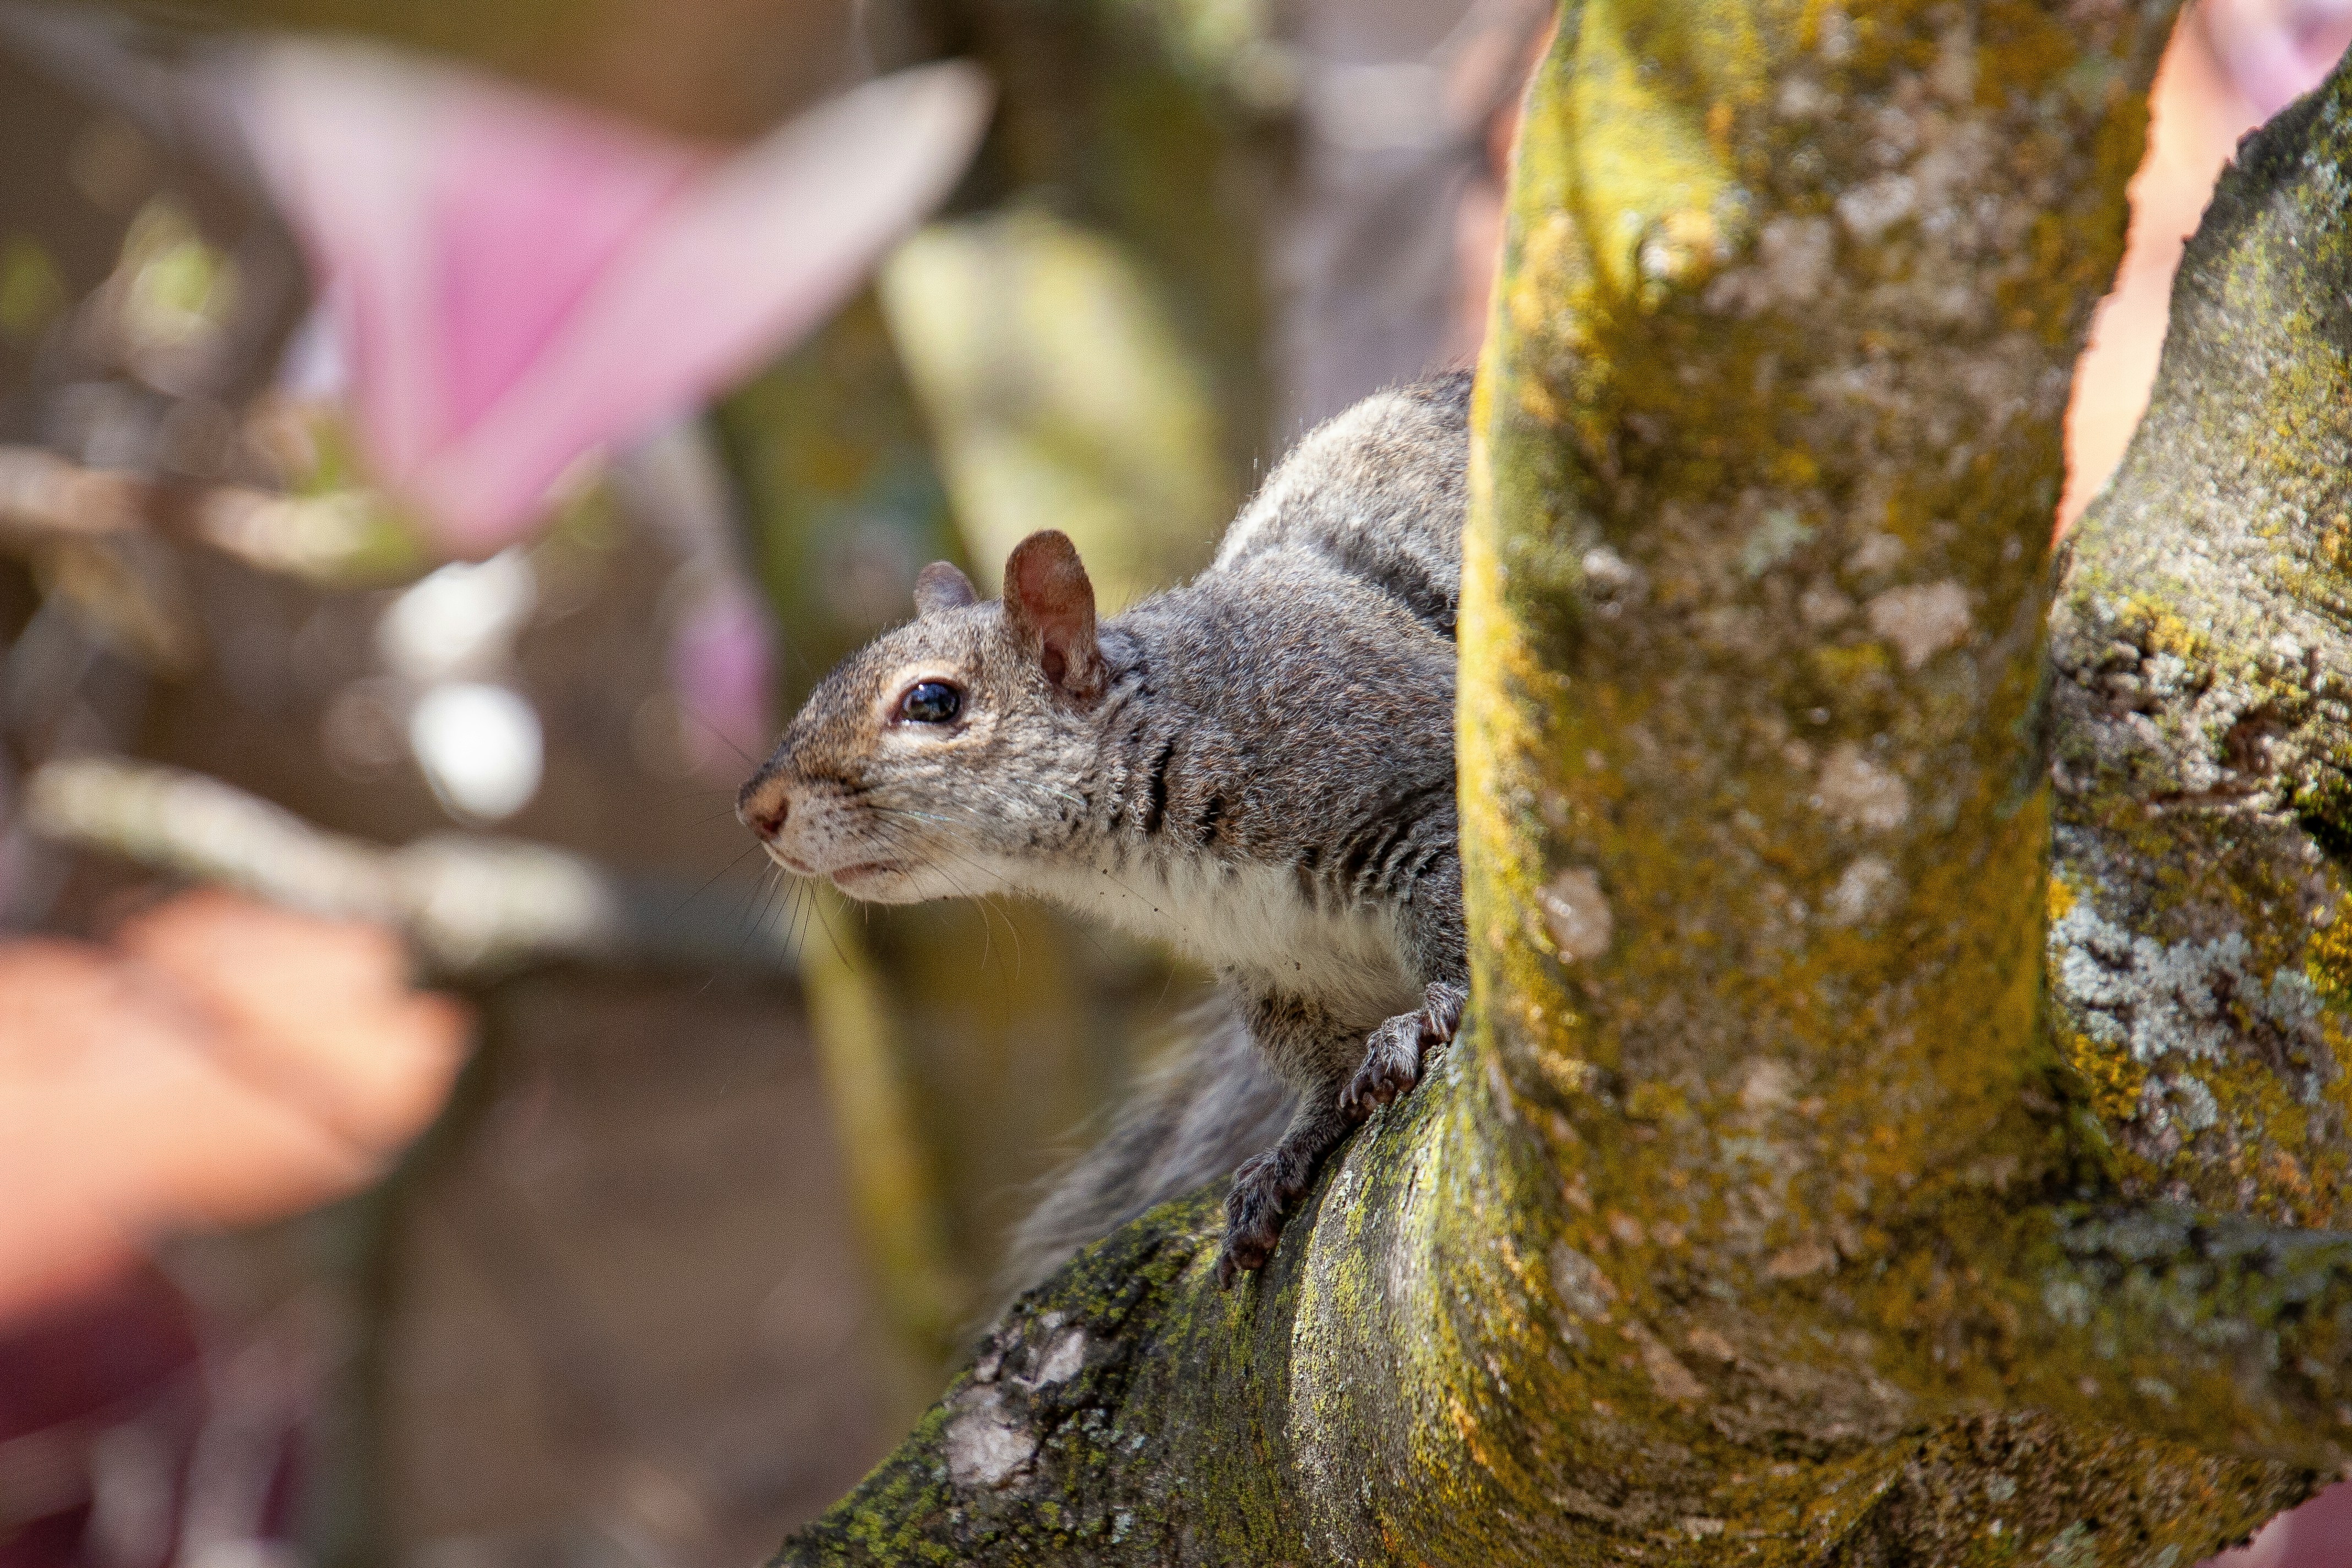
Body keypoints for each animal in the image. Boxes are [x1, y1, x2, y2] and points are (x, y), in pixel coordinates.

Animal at [737, 372, 1471, 1287]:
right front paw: (1292, 1148)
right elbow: (1318, 1070)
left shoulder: (1414, 790)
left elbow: (1462, 928)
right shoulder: (1281, 972)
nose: (756, 808)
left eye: (932, 702)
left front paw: (1427, 1016)